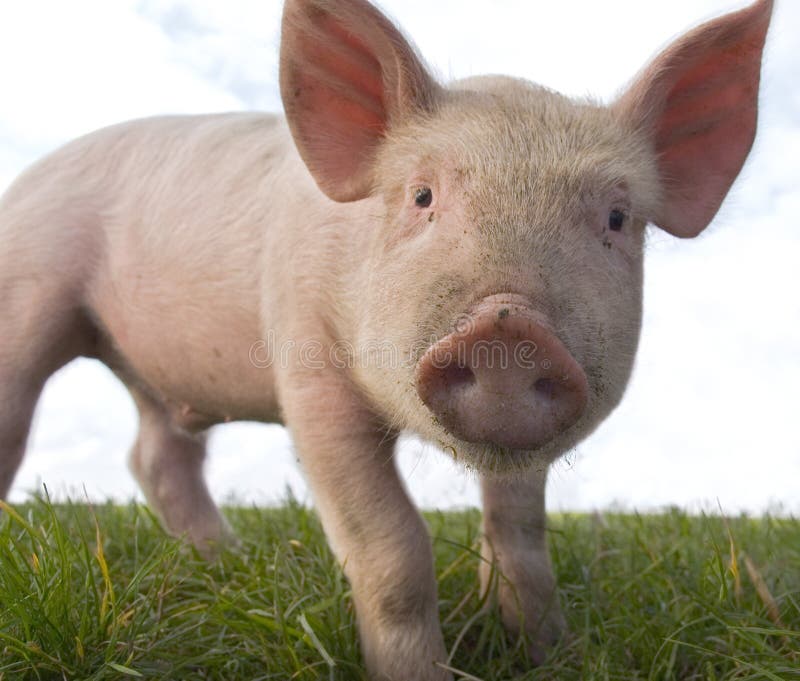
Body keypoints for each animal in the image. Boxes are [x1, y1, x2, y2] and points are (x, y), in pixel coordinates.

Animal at [0, 0, 773, 678]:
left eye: (616, 218)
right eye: (422, 196)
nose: (508, 324)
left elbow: (522, 538)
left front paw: (558, 657)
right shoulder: (307, 364)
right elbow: (392, 546)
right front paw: (418, 675)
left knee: (157, 457)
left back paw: (228, 563)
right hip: (30, 288)